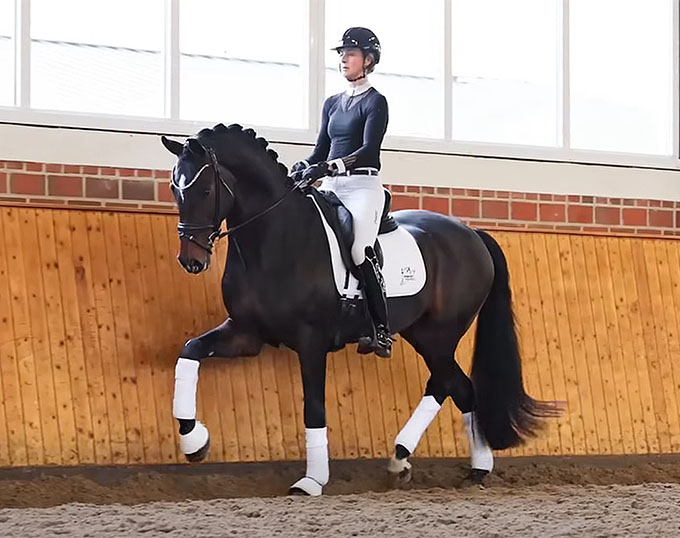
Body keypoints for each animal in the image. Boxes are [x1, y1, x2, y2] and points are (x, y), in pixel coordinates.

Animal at [161, 123, 560, 496]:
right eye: (174, 190)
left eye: (205, 190)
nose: (191, 261)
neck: (275, 239)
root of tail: (472, 232)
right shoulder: (247, 333)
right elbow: (190, 351)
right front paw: (194, 441)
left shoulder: (311, 341)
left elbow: (314, 406)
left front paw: (312, 481)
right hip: (422, 332)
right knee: (454, 385)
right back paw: (431, 463)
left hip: (441, 333)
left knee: (451, 383)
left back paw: (446, 463)